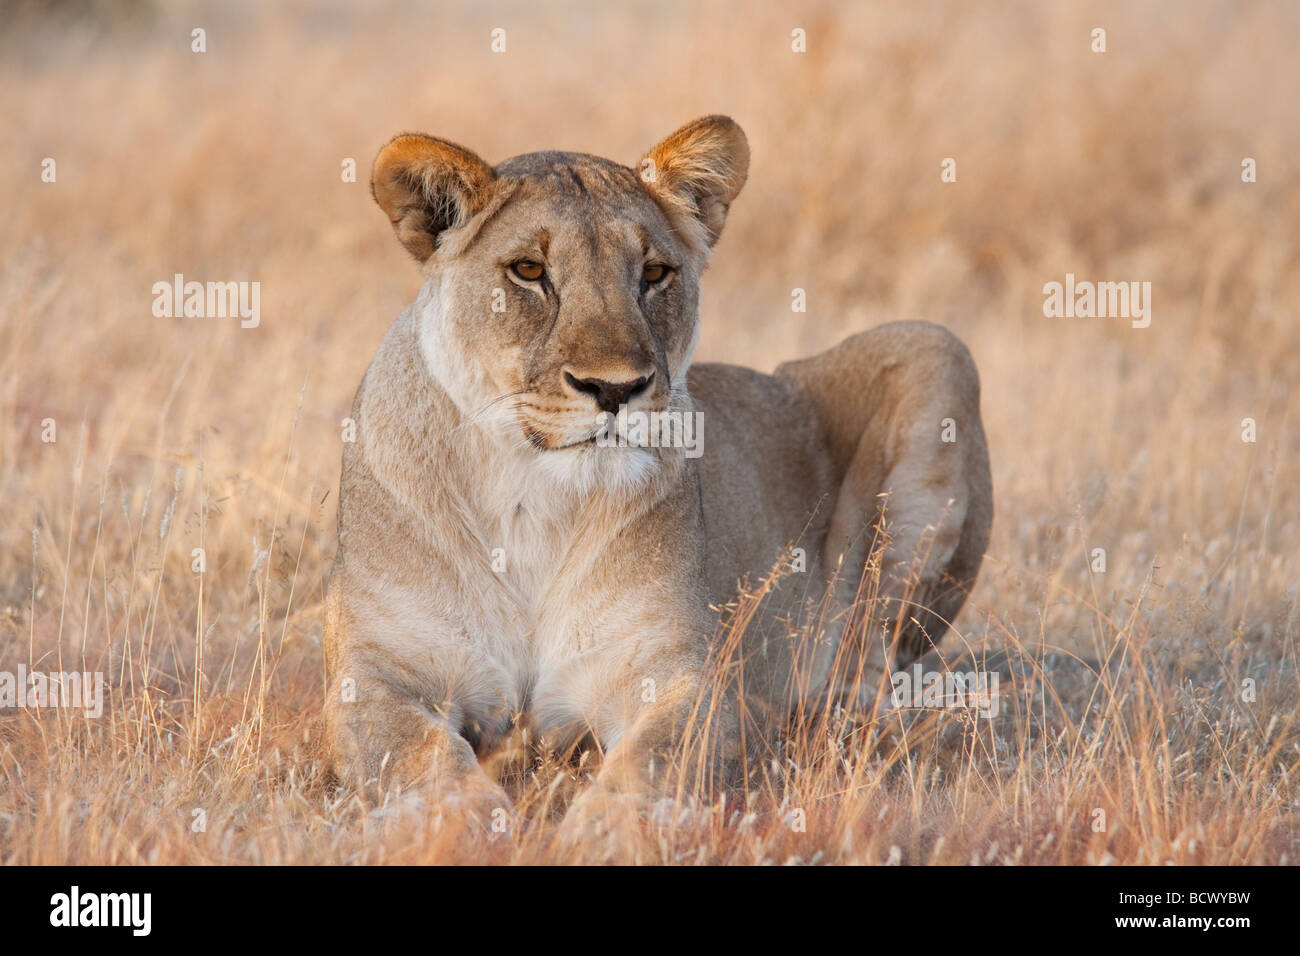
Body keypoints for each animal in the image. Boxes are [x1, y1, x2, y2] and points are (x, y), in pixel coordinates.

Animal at [323, 115, 992, 827]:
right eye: (529, 270)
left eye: (654, 273)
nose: (615, 389)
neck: (532, 498)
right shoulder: (373, 674)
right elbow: (417, 750)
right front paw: (466, 819)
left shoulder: (678, 677)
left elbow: (651, 766)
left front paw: (600, 832)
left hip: (934, 348)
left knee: (875, 673)